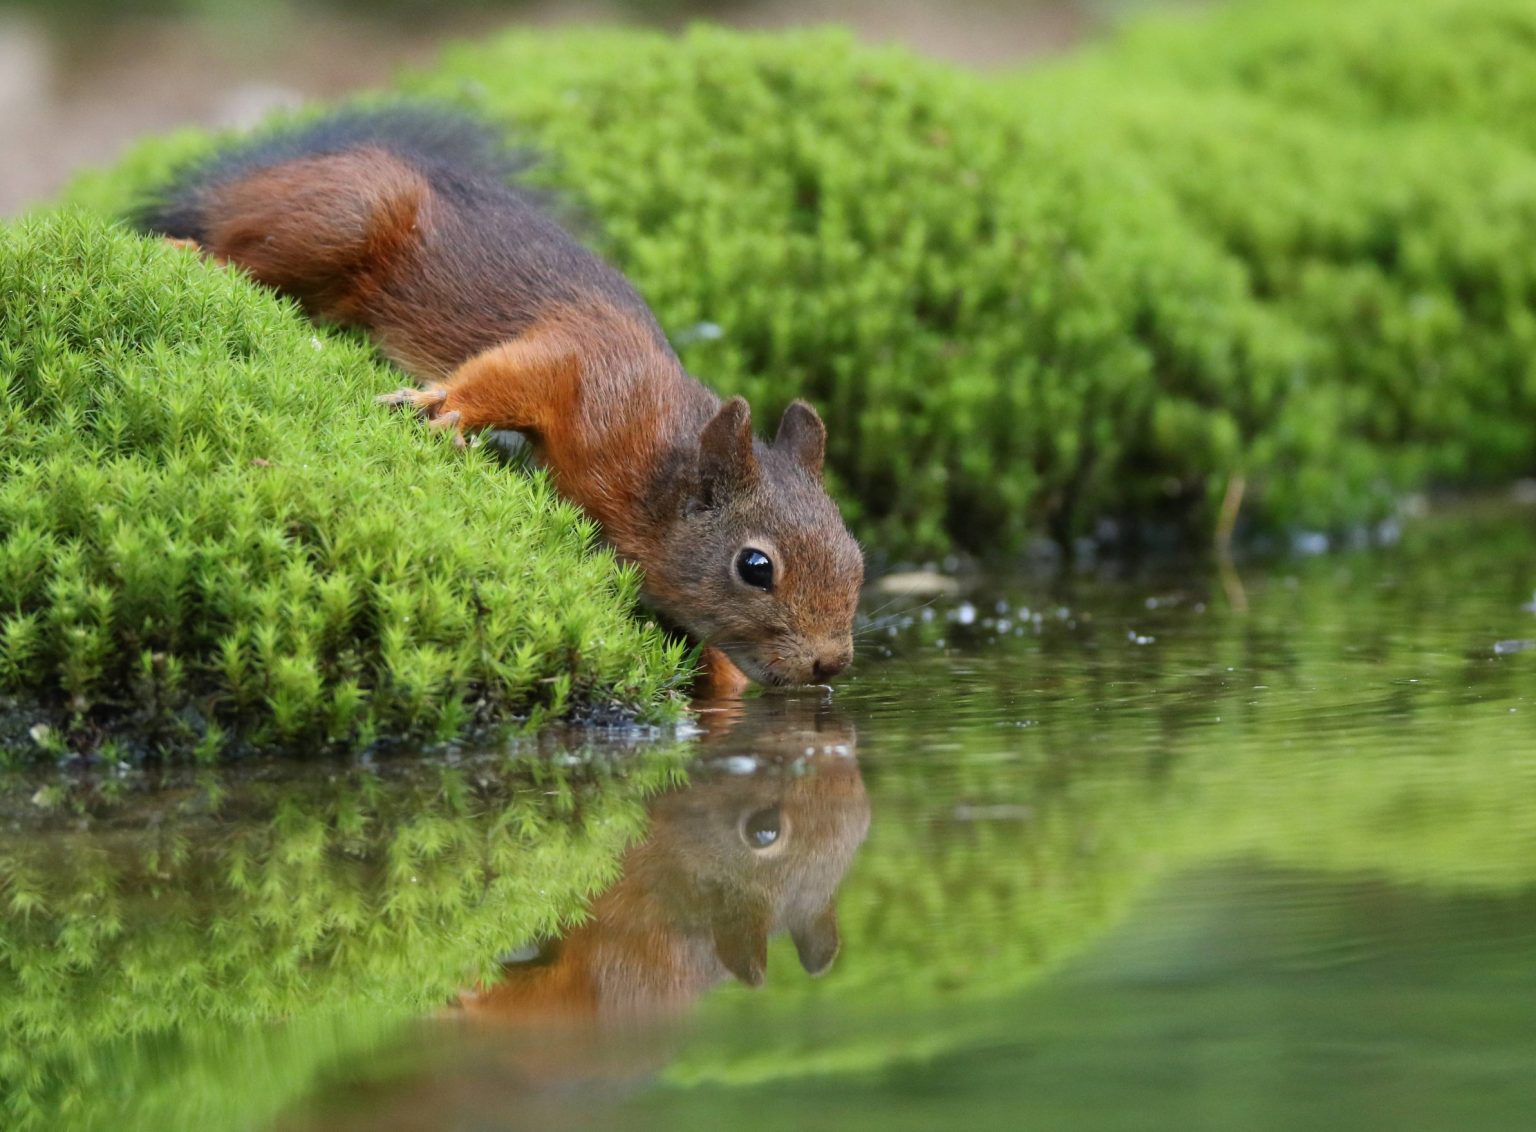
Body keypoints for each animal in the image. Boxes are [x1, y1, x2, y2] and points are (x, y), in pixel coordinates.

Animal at [137, 106, 864, 694]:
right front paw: (444, 409)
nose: (831, 664)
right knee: (240, 249)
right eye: (755, 567)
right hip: (344, 215)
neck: (656, 465)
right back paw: (194, 249)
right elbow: (513, 375)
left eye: (857, 557)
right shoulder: (591, 369)